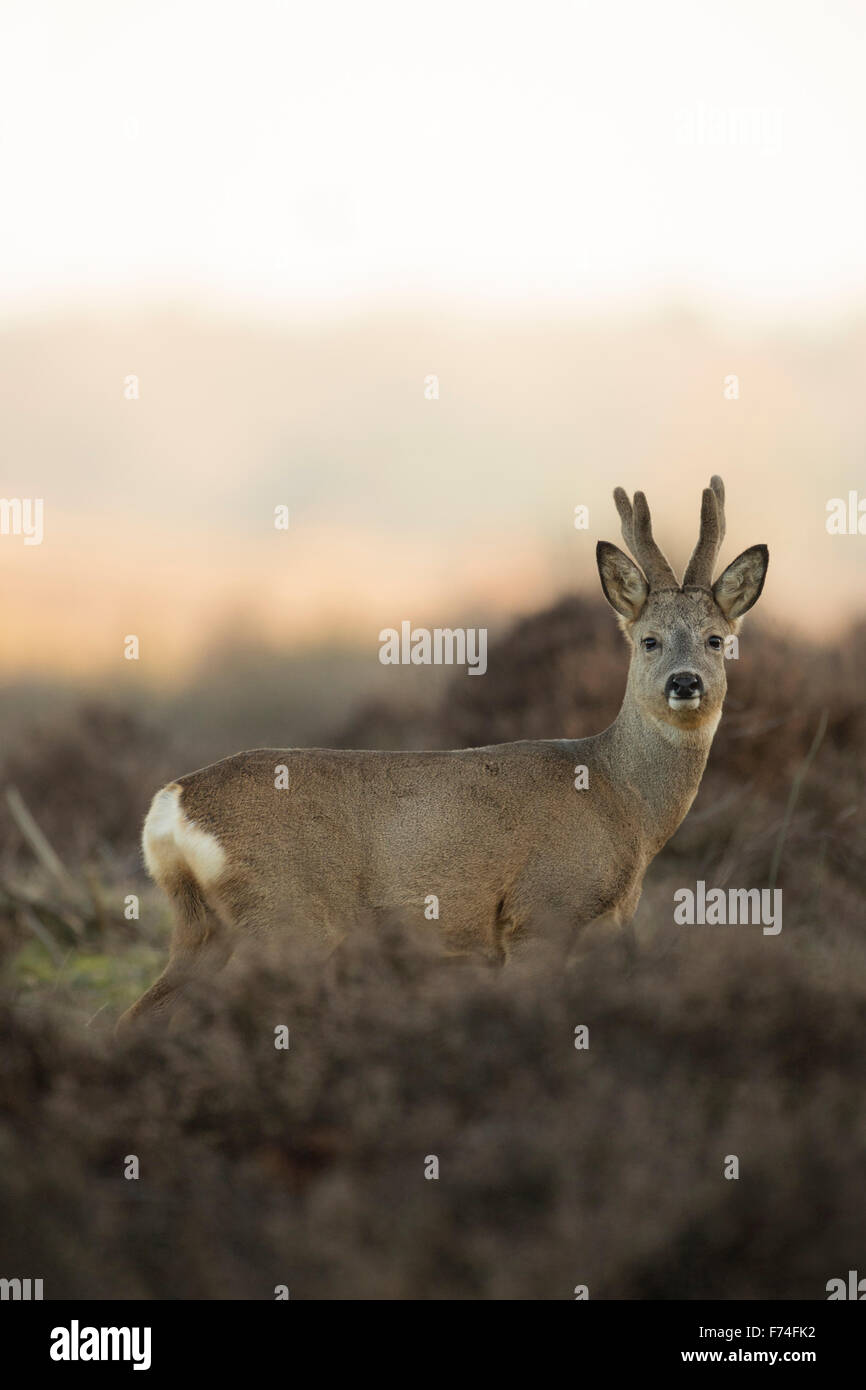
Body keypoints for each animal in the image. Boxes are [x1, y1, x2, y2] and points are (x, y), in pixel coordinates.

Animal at [116, 478, 768, 1031]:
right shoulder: (540, 912)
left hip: (202, 927)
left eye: (716, 639)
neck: (622, 803)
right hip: (286, 914)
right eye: (649, 640)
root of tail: (170, 806)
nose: (685, 683)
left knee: (136, 1017)